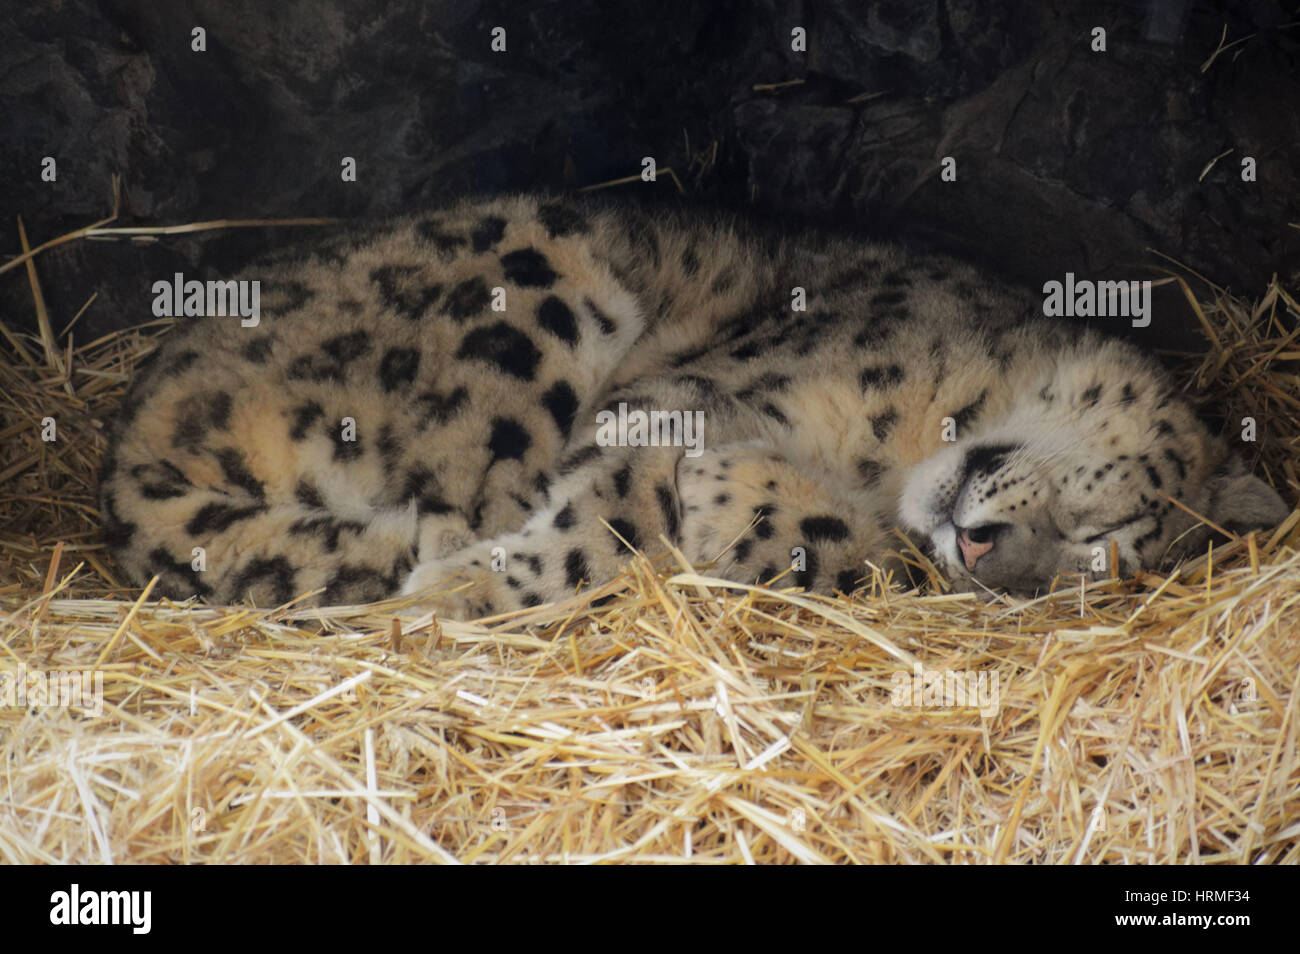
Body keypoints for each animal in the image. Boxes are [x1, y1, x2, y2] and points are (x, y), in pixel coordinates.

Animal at [98, 194, 1289, 618]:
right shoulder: (693, 389)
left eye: (1090, 567)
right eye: (1105, 528)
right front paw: (472, 590)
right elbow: (606, 514)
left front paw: (744, 506)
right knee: (470, 490)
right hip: (535, 279)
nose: (986, 551)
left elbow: (840, 551)